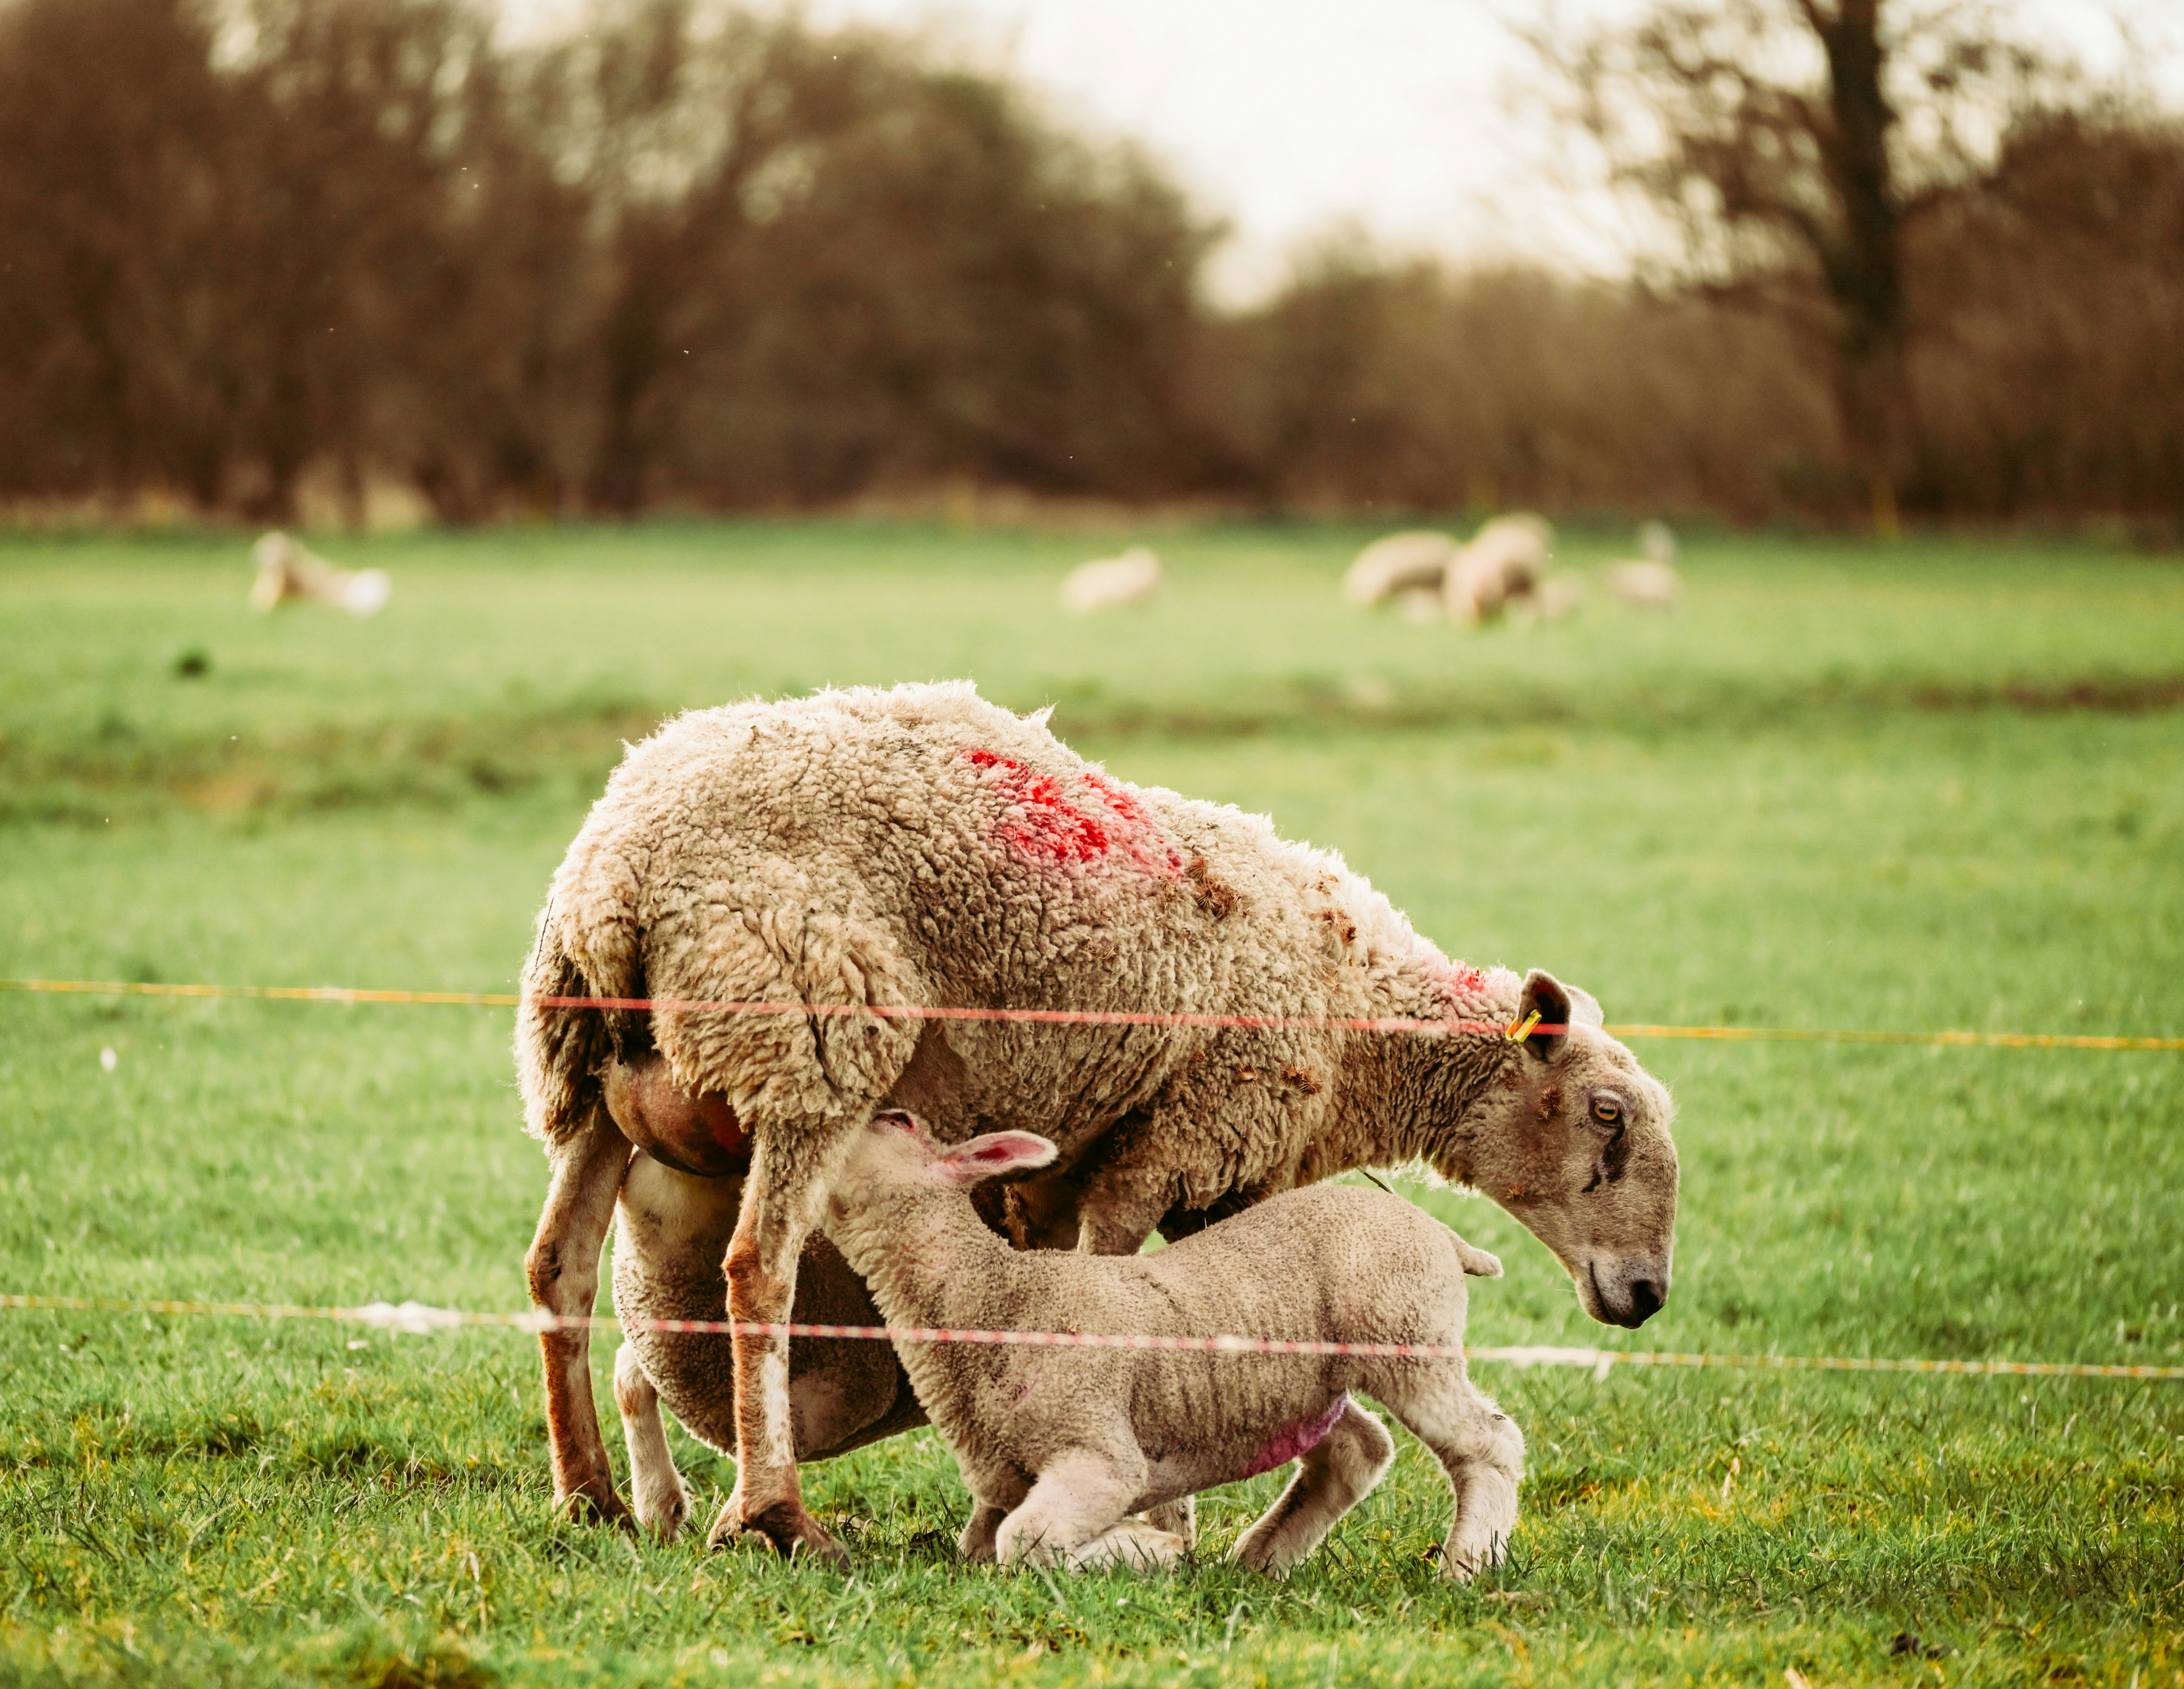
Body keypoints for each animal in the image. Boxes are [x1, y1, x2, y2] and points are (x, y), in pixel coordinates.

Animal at [821, 1112, 1523, 1577]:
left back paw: (1466, 1567)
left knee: (1488, 1443)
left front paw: (1147, 1548)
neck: (992, 1294)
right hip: (1304, 1380)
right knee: (1359, 1448)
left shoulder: (1100, 1454)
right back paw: (1260, 1558)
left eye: (895, 1120)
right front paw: (1157, 1547)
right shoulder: (1006, 1474)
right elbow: (982, 1544)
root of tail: (1437, 1227)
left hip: (1407, 1333)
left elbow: (1022, 1540)